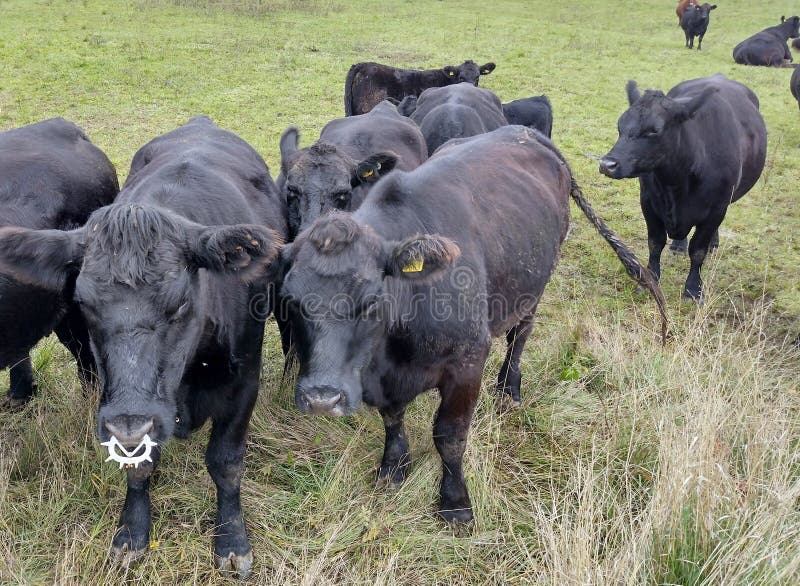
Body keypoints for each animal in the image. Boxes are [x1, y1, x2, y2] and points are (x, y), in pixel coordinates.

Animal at [276, 125, 666, 525]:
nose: (322, 399)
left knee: (519, 336)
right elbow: (392, 419)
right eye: (291, 300)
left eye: (372, 299)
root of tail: (526, 133)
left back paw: (509, 388)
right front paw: (394, 467)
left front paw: (455, 501)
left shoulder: (467, 362)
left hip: (534, 286)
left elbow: (450, 436)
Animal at [599, 74, 767, 301]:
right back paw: (678, 245)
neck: (675, 184)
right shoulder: (648, 202)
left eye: (654, 130)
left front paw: (693, 290)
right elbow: (655, 243)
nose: (607, 164)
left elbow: (698, 251)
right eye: (620, 125)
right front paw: (650, 281)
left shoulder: (716, 208)